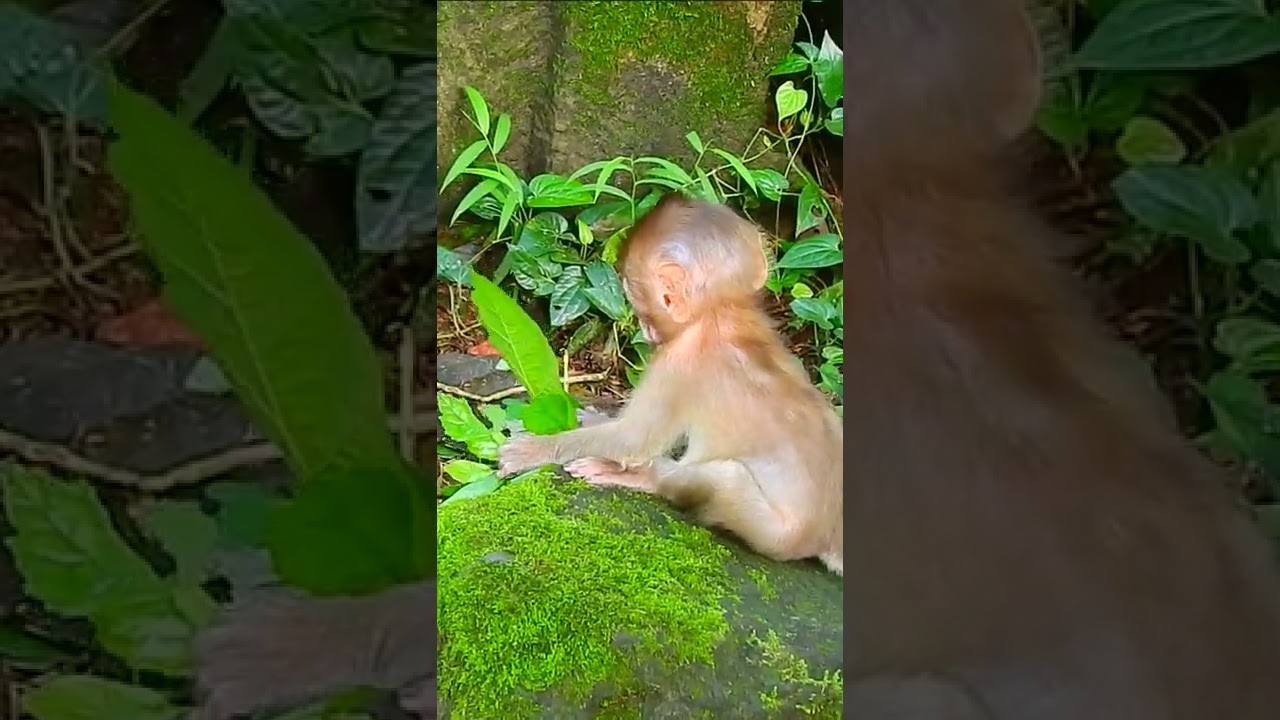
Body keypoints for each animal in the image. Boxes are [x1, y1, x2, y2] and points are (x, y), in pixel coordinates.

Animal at [497, 193, 844, 574]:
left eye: (636, 298)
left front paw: (532, 451)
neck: (722, 312)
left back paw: (647, 478)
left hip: (775, 534)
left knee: (724, 477)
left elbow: (635, 439)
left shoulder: (678, 361)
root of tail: (825, 534)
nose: (644, 329)